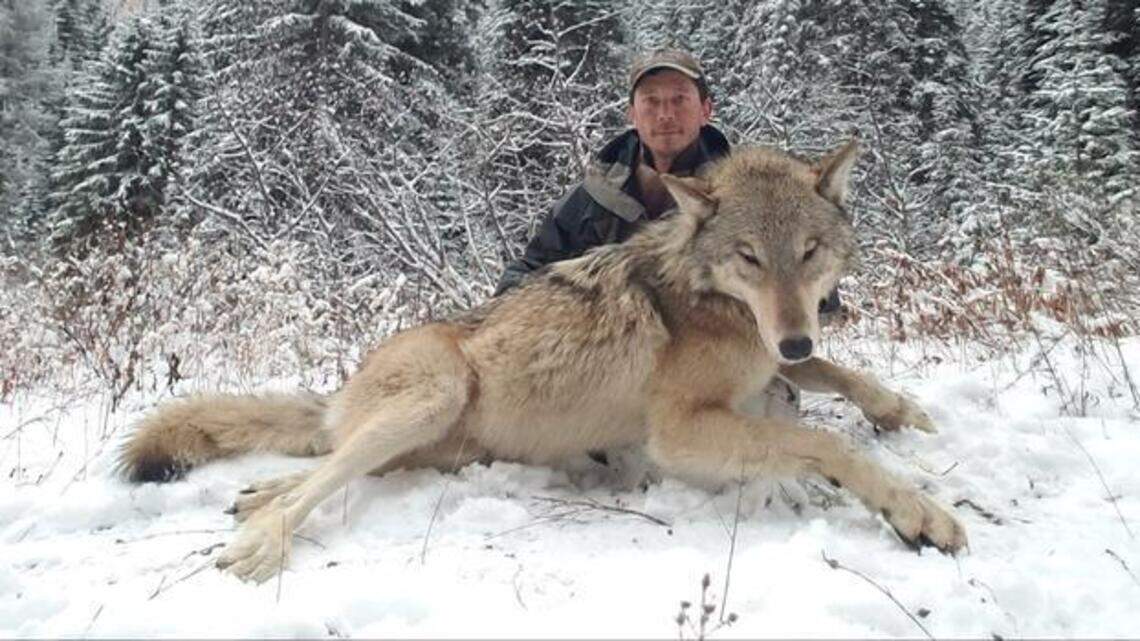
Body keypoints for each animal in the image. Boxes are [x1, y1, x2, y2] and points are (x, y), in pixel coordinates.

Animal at [120, 141, 967, 583]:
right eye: (752, 258)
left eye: (811, 252)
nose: (794, 337)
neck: (711, 300)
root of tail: (341, 389)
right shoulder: (681, 429)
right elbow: (823, 441)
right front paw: (920, 512)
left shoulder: (772, 362)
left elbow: (838, 376)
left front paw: (900, 410)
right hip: (436, 392)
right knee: (314, 482)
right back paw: (257, 542)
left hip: (429, 444)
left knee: (318, 467)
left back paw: (254, 495)